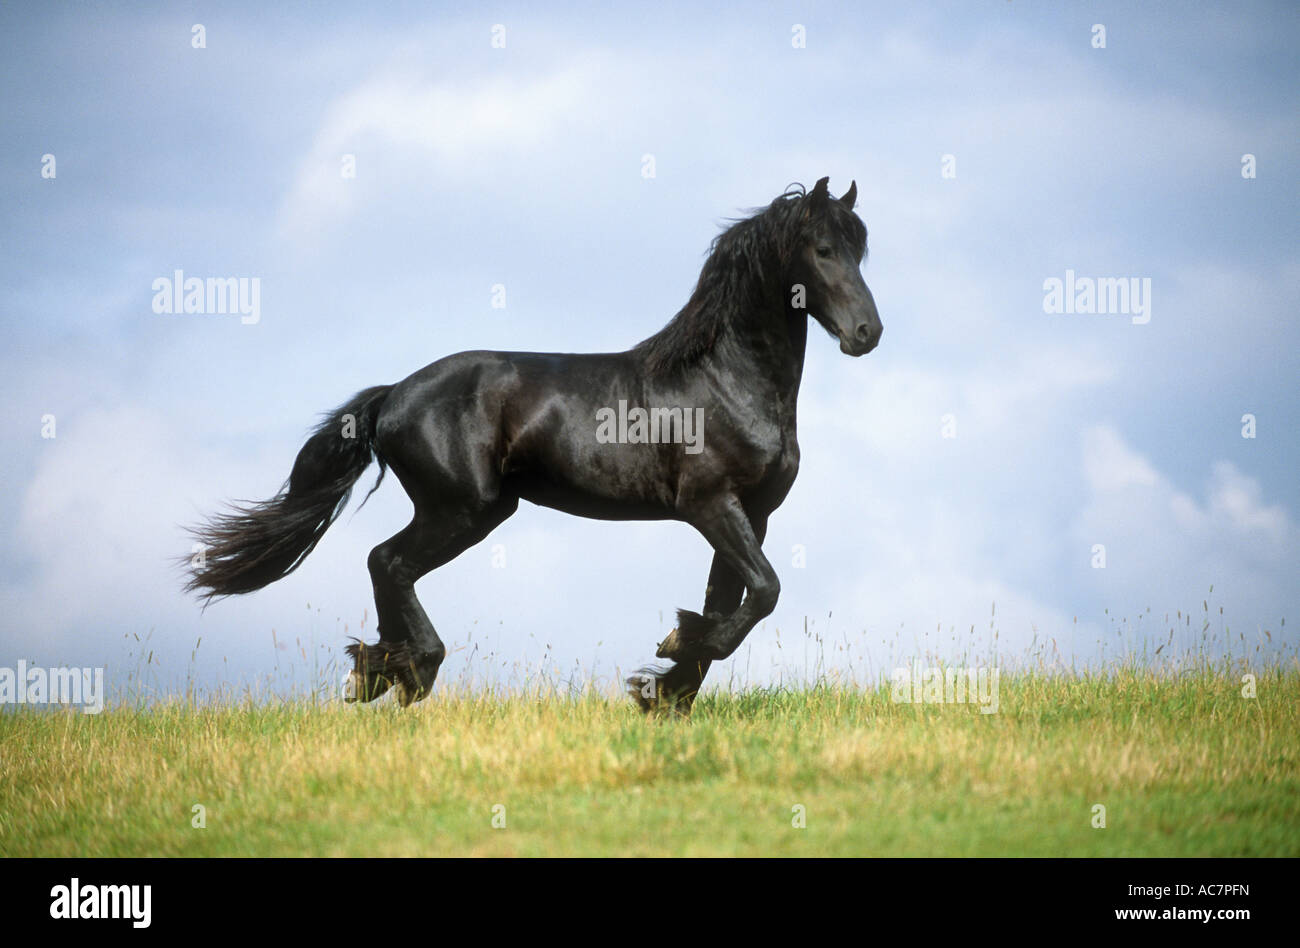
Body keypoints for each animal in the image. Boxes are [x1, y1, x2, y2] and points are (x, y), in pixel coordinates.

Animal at [185, 176, 882, 714]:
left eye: (861, 251)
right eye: (822, 249)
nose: (866, 333)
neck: (722, 380)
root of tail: (393, 396)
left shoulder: (751, 515)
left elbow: (729, 602)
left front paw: (665, 688)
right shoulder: (709, 505)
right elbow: (764, 592)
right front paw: (671, 655)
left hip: (476, 510)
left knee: (387, 564)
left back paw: (379, 668)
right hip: (464, 509)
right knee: (388, 562)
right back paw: (405, 671)